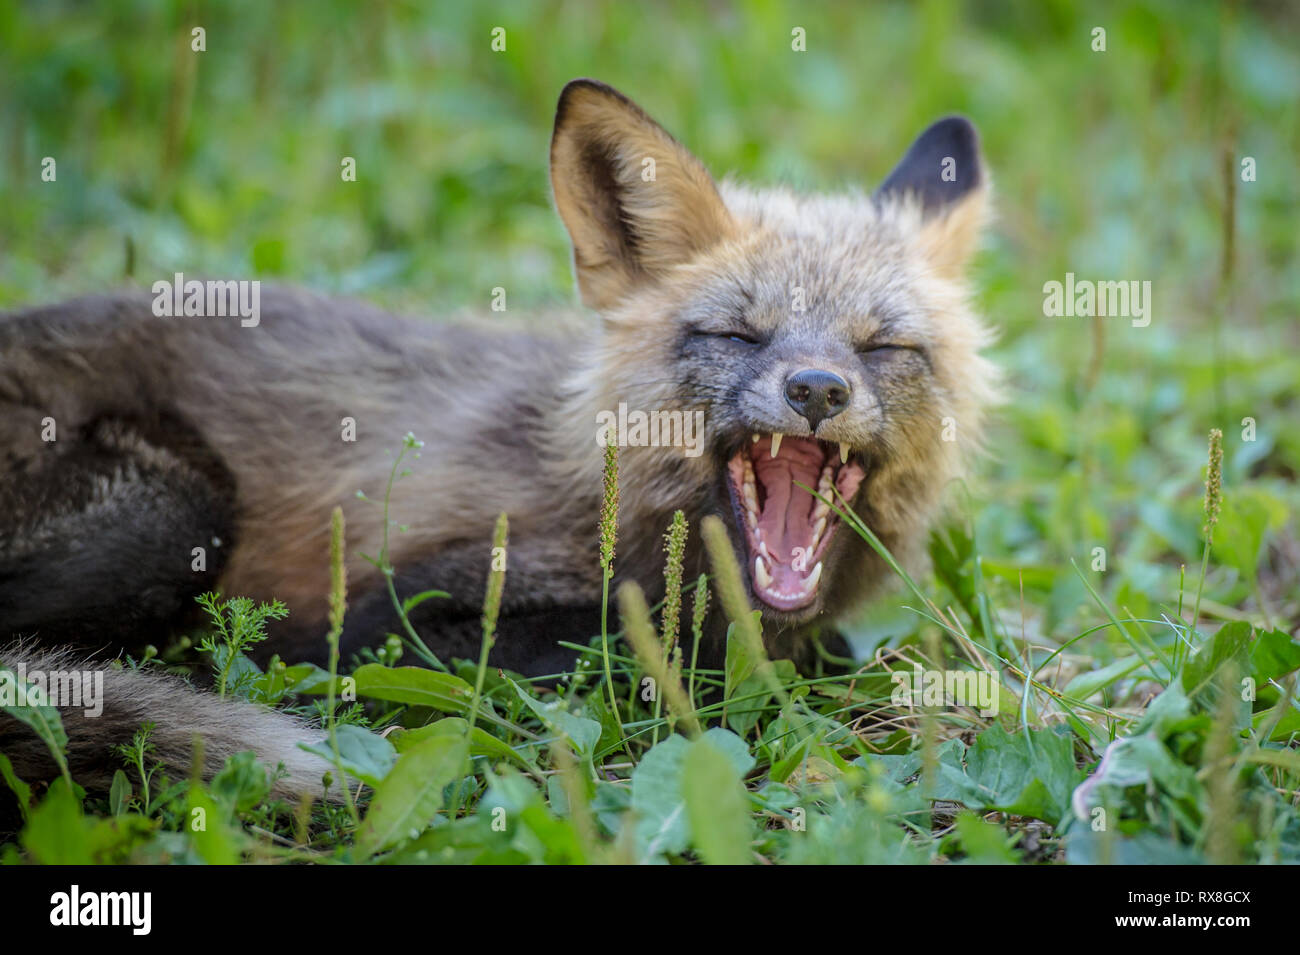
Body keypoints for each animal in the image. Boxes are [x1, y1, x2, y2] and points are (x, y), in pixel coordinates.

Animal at [0, 79, 997, 805]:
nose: (817, 390)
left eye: (882, 347)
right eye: (739, 335)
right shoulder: (393, 617)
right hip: (172, 517)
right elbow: (676, 653)